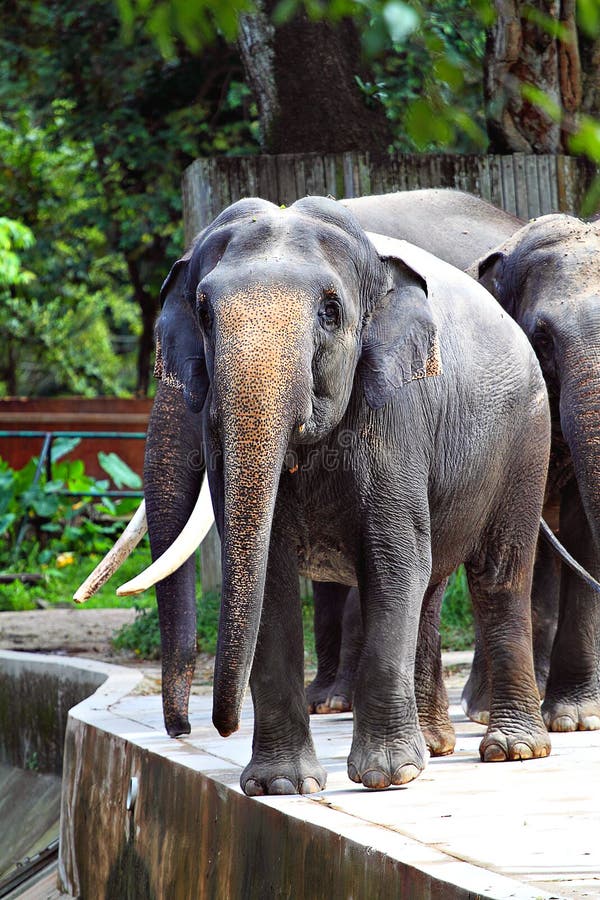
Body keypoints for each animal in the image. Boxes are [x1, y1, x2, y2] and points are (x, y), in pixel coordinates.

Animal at [116, 194, 552, 796]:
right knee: (433, 585)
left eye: (330, 312)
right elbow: (271, 575)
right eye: (203, 313)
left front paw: (388, 777)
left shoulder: (394, 411)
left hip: (528, 434)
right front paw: (281, 785)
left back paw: (512, 751)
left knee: (498, 574)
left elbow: (393, 560)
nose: (205, 728)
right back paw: (437, 745)